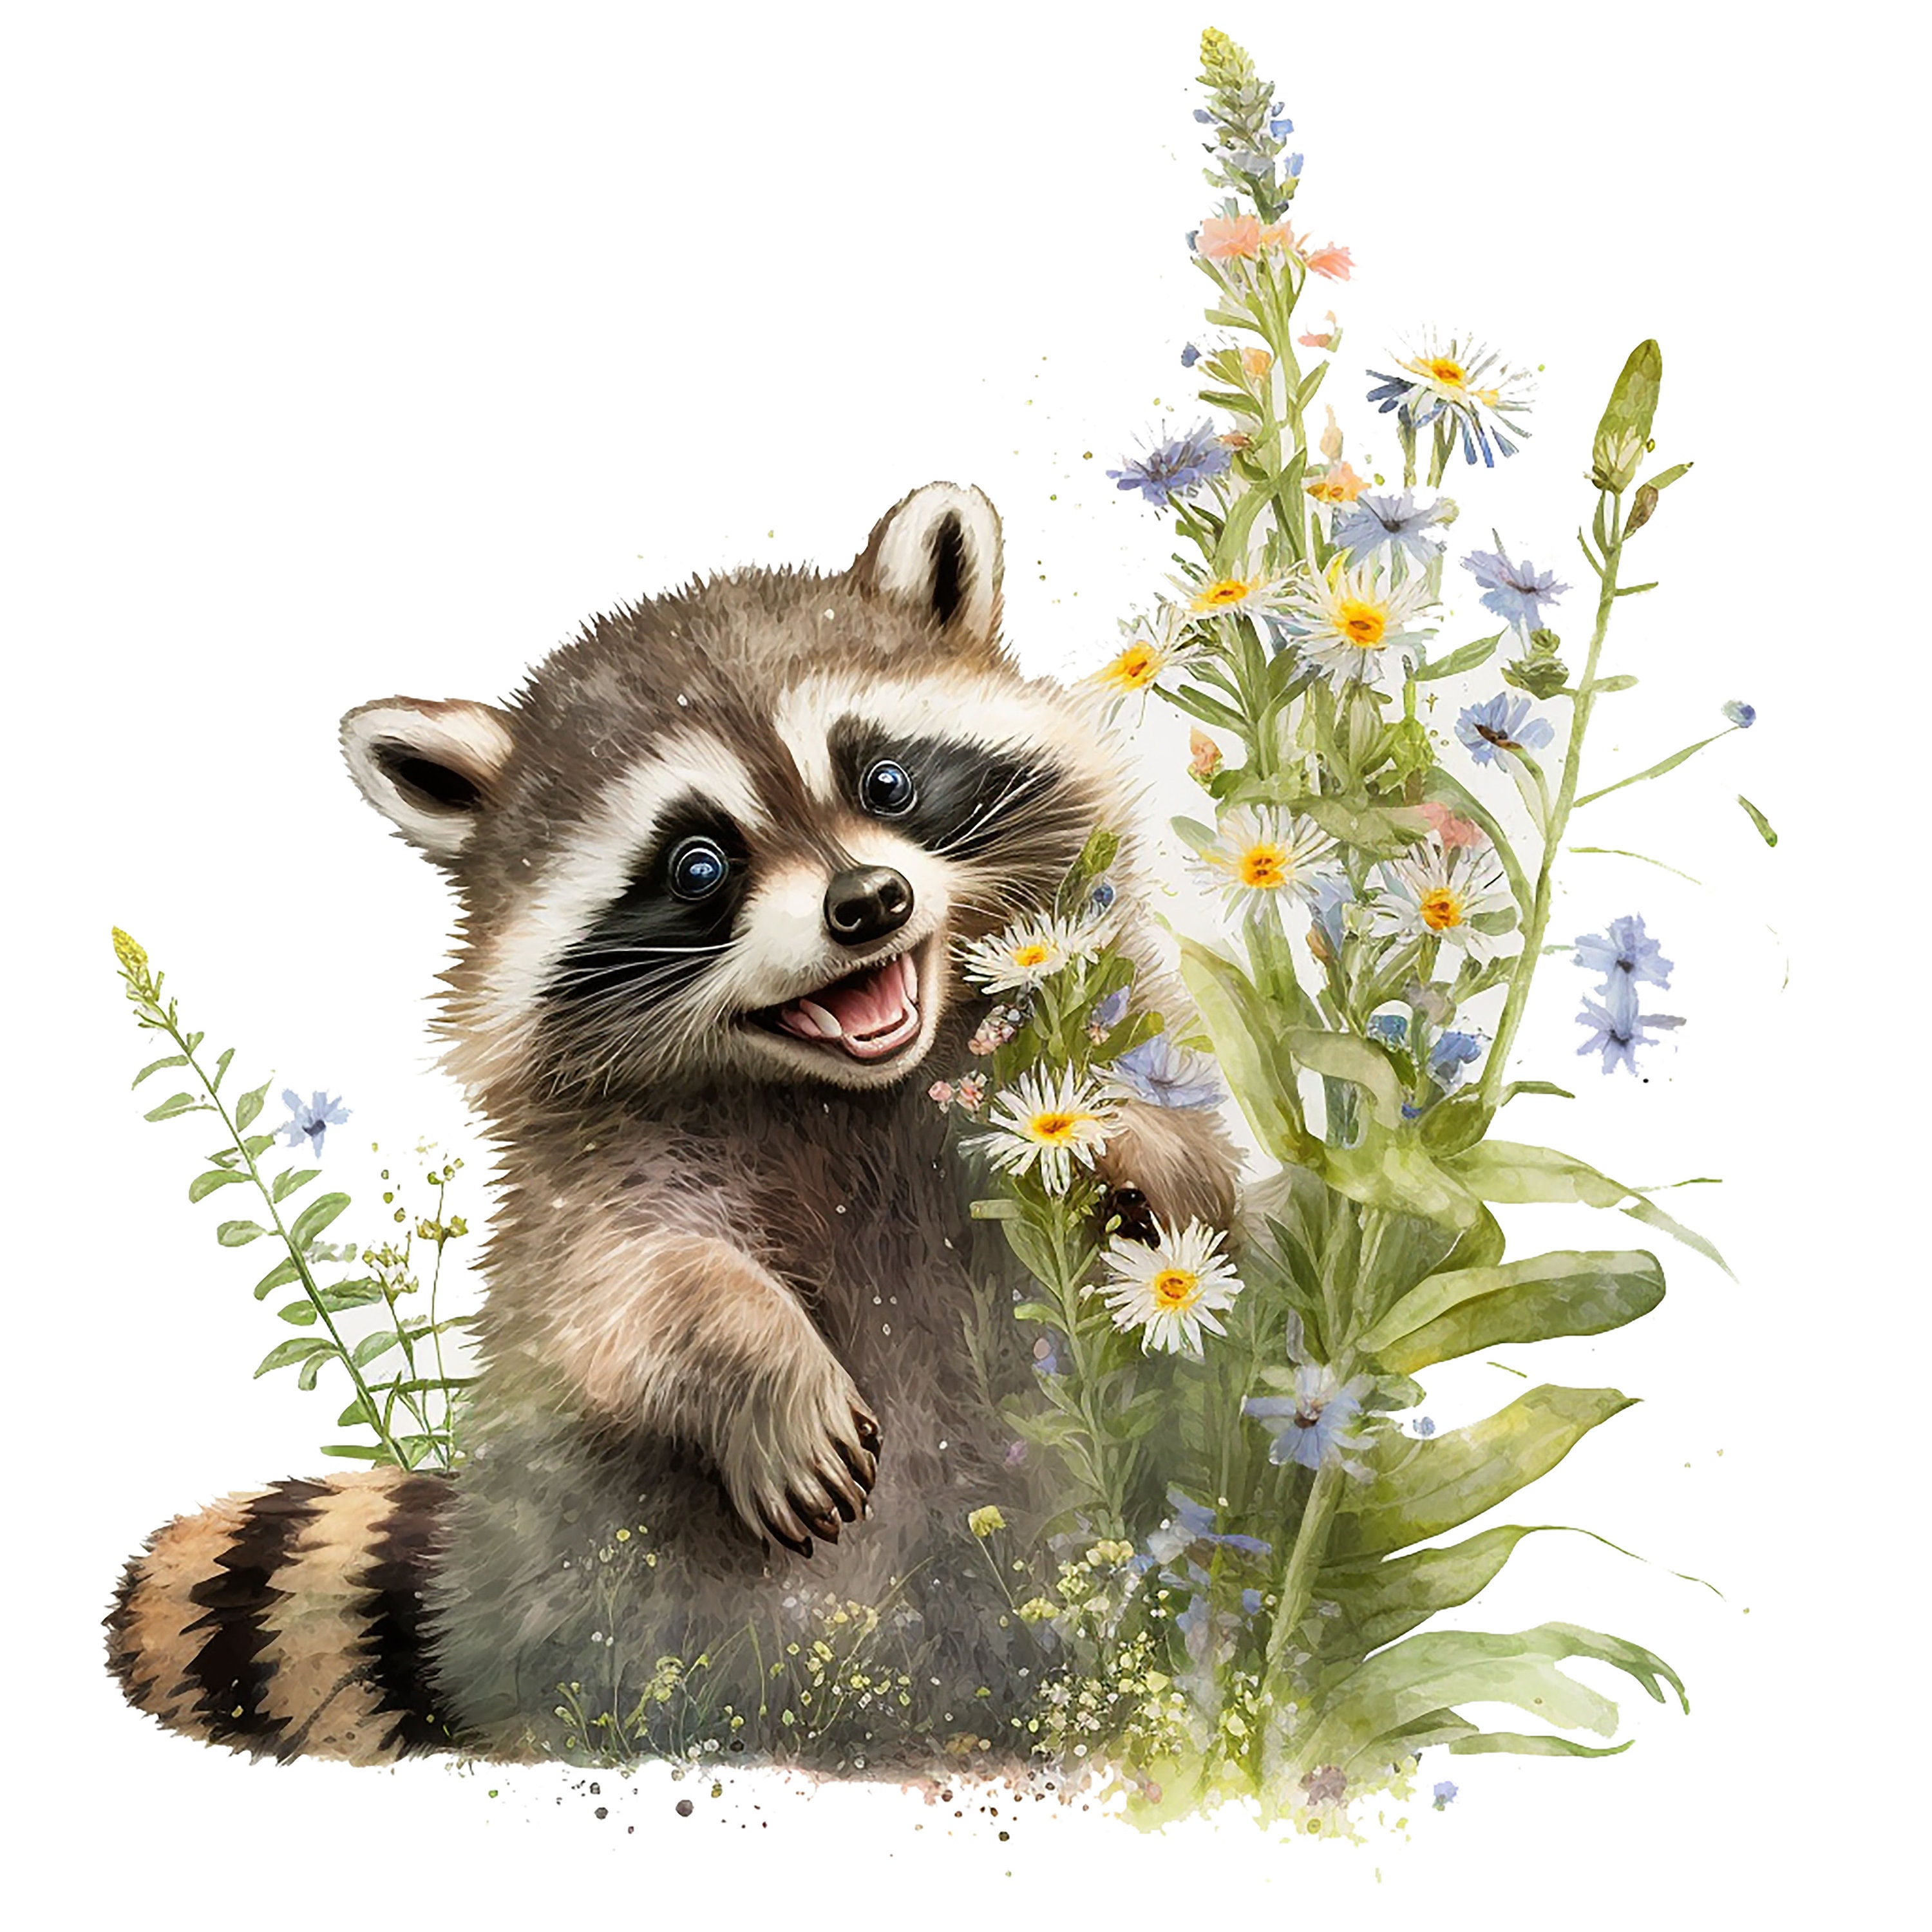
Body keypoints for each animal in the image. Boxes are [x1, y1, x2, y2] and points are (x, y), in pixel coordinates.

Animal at [107, 483, 1239, 1766]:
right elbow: (623, 1289)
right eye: (698, 866)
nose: (868, 904)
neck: (851, 1092)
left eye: (885, 783)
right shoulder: (588, 1168)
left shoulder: (1093, 1018)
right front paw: (755, 1353)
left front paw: (1147, 1152)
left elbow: (1193, 1147)